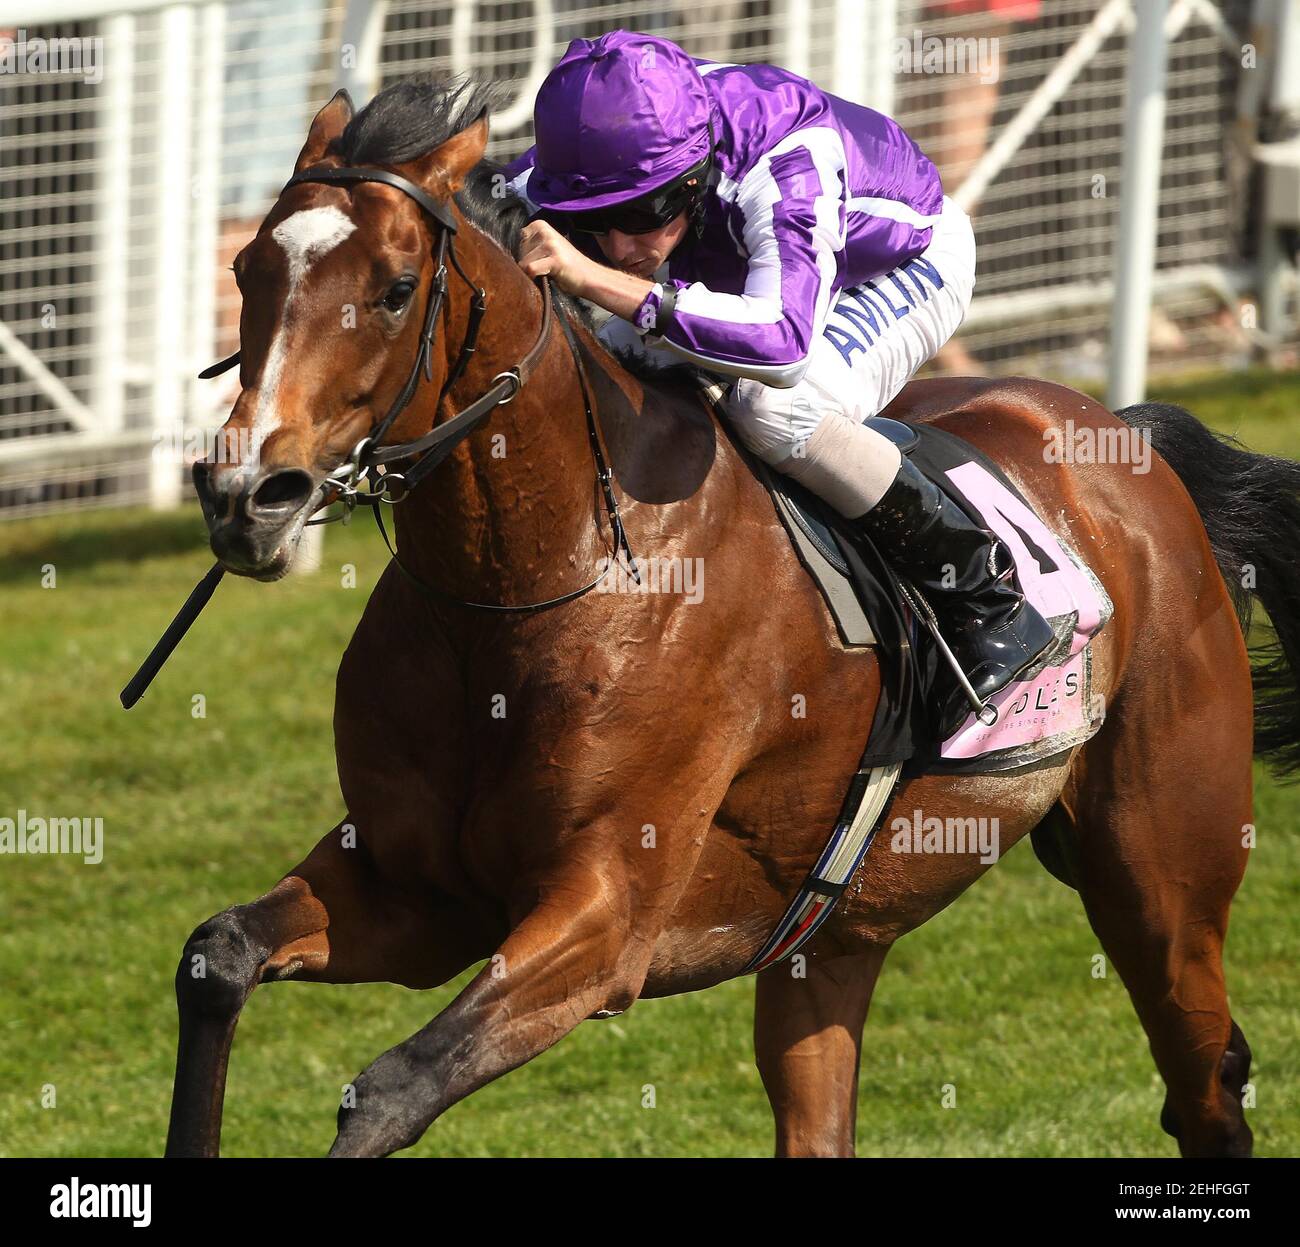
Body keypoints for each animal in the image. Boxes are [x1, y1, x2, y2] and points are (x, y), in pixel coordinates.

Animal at [165, 77, 1300, 1158]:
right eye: (249, 274)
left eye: (396, 290)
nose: (247, 493)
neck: (527, 587)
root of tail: (1122, 436)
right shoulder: (416, 890)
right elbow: (217, 954)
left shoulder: (605, 918)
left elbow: (391, 1088)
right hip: (830, 939)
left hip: (1160, 872)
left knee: (1206, 1080)